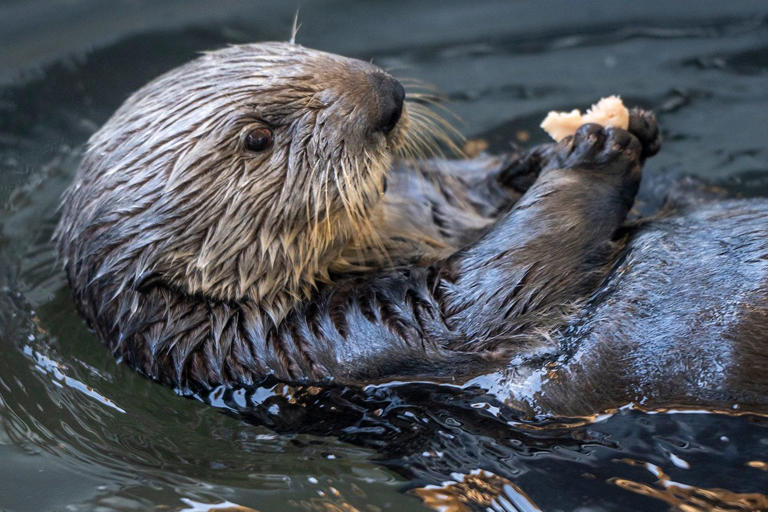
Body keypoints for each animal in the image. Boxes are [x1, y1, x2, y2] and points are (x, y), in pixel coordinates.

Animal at [55, 42, 768, 417]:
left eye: (296, 50)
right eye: (256, 139)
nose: (387, 95)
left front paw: (604, 131)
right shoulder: (335, 339)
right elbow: (481, 294)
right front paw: (590, 151)